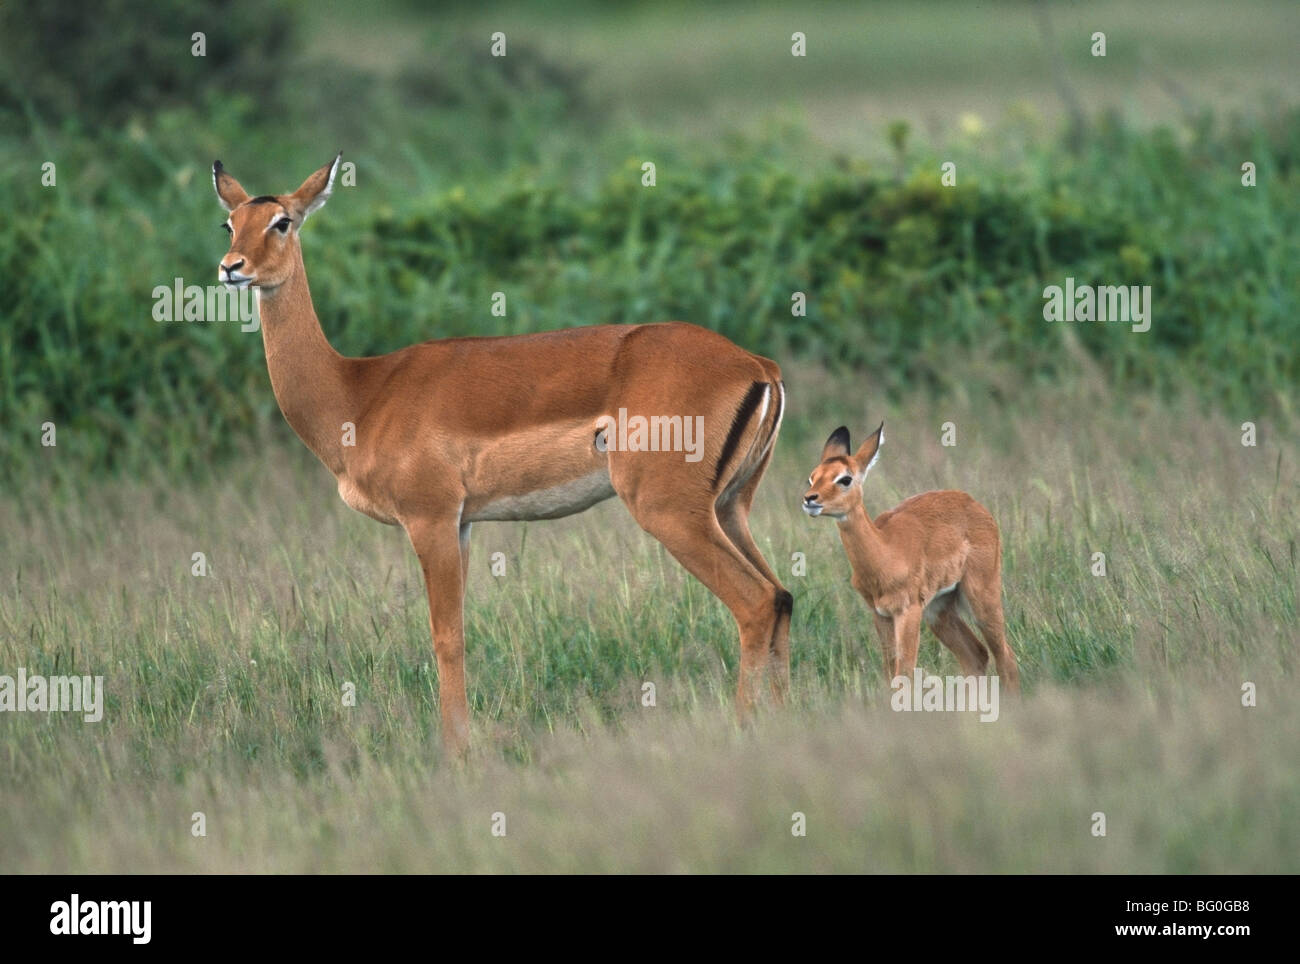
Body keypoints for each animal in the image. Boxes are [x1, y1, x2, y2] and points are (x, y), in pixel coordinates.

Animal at [212, 154, 792, 757]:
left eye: (282, 222)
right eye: (228, 223)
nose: (231, 268)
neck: (359, 392)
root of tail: (757, 365)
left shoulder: (430, 517)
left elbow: (446, 636)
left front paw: (457, 754)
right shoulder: (463, 523)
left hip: (669, 511)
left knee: (755, 602)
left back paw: (743, 730)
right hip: (728, 508)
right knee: (781, 597)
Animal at [801, 422, 1020, 693]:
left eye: (845, 479)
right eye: (813, 476)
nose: (810, 499)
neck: (886, 551)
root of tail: (976, 505)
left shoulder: (908, 611)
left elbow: (903, 675)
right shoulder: (881, 614)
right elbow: (889, 674)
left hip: (981, 596)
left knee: (1006, 658)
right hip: (939, 609)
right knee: (976, 654)